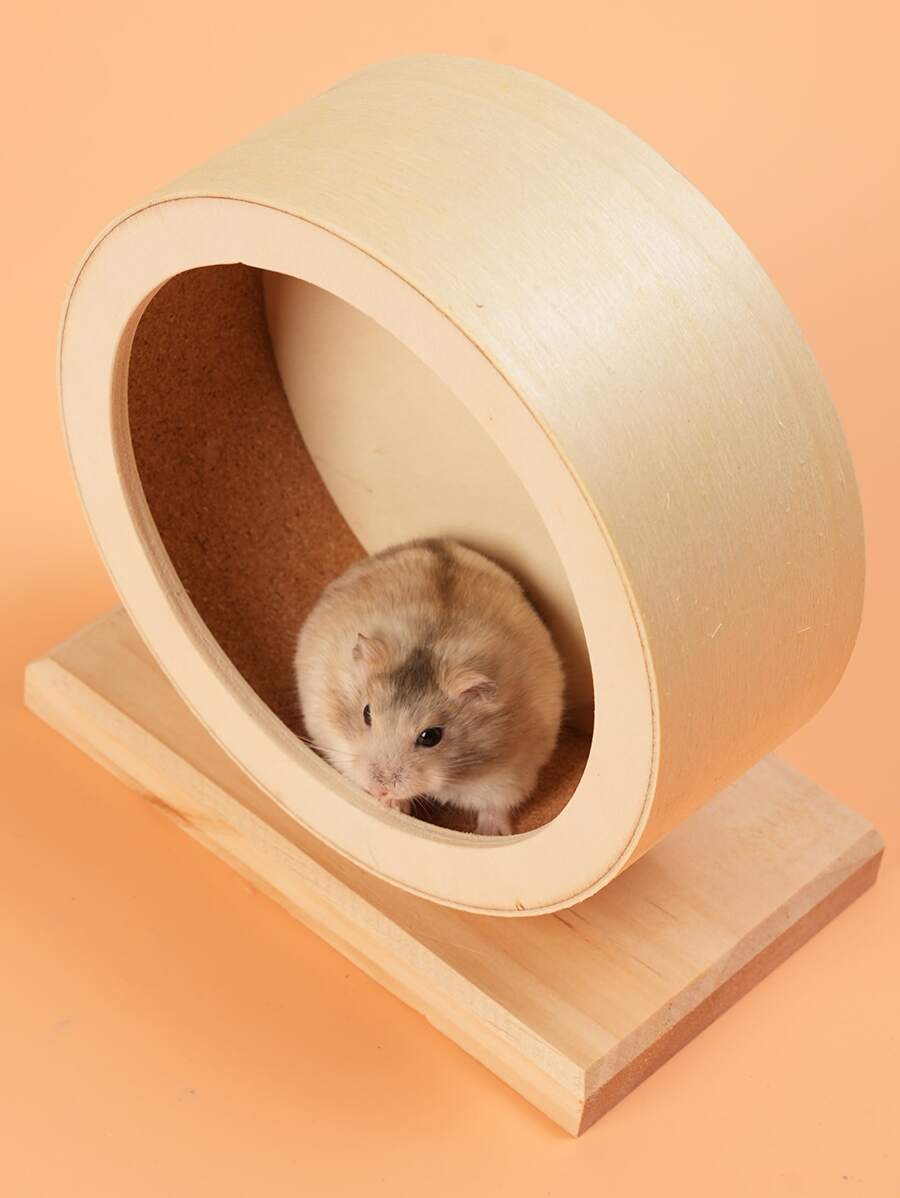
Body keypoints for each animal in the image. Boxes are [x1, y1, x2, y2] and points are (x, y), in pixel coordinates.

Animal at [293, 537, 565, 835]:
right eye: (366, 713)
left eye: (430, 736)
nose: (379, 789)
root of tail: (439, 540)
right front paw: (393, 805)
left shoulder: (508, 776)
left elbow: (495, 806)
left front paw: (489, 833)